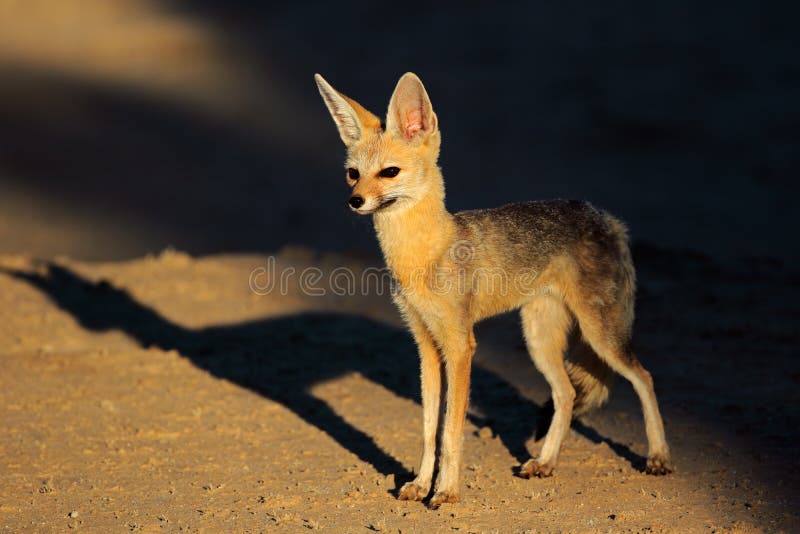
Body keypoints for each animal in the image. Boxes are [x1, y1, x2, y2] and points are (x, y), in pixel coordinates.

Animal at [314, 72, 672, 508]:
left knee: (644, 378)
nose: (355, 201)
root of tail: (607, 218)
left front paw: (446, 491)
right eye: (353, 173)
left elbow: (450, 432)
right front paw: (420, 484)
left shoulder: (460, 346)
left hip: (602, 337)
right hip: (539, 341)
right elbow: (428, 429)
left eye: (389, 172)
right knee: (567, 394)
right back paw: (545, 462)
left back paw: (658, 456)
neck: (424, 255)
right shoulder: (426, 346)